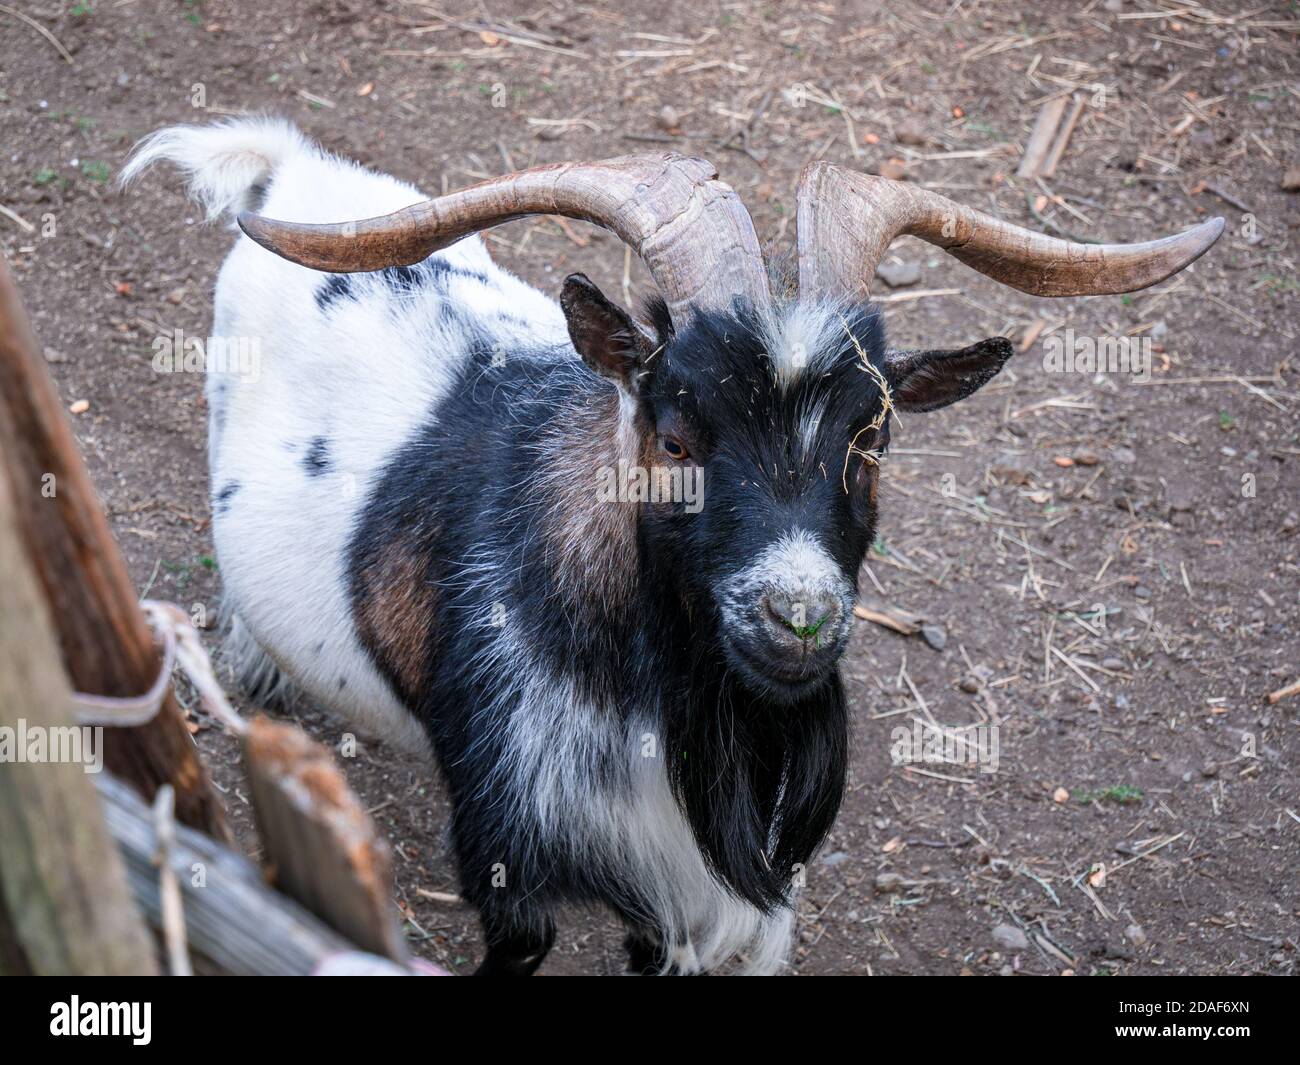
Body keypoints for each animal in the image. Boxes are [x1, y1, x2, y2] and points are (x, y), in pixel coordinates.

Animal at [123, 117, 1221, 975]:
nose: (797, 620)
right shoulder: (501, 847)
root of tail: (293, 173)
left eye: (870, 441)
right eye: (676, 437)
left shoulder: (674, 896)